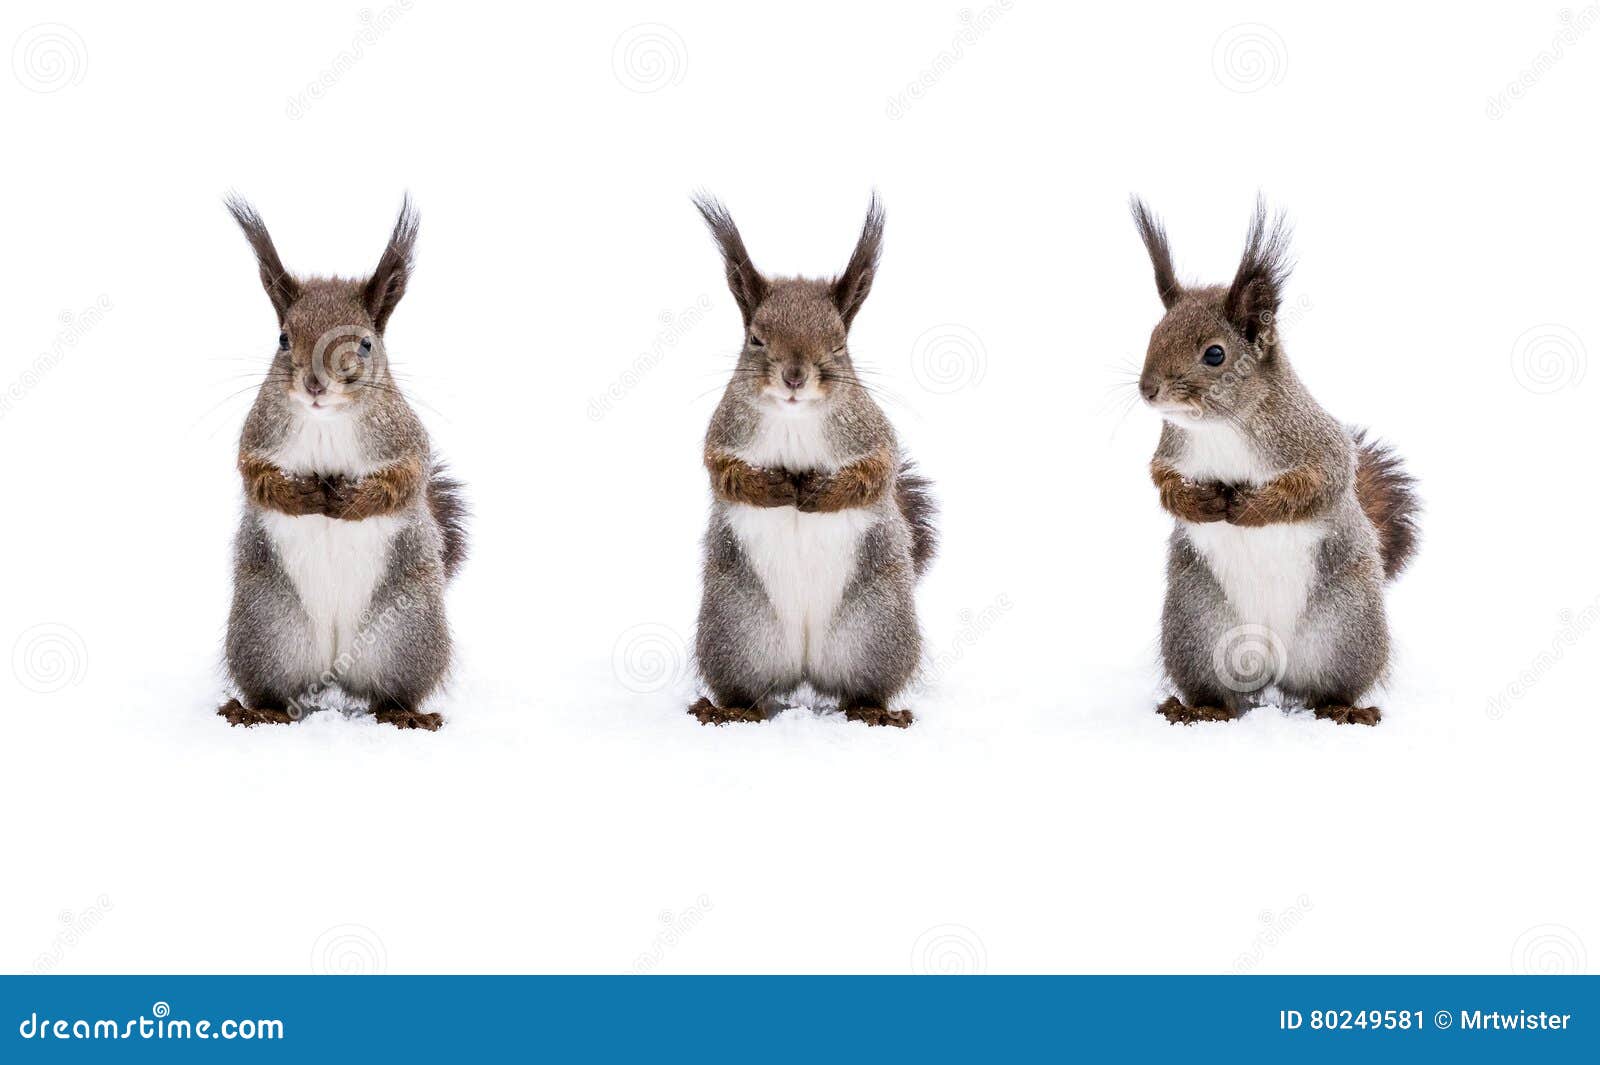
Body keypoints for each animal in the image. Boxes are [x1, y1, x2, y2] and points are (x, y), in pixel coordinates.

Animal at [217, 196, 467, 731]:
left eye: (366, 343)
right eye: (283, 338)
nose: (316, 384)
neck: (326, 419)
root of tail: (334, 672)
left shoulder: (405, 441)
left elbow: (404, 482)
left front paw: (350, 502)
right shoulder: (258, 439)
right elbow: (256, 478)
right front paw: (304, 494)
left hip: (406, 636)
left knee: (390, 693)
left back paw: (406, 717)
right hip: (265, 631)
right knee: (276, 689)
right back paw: (258, 710)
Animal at [687, 194, 937, 728]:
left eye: (839, 343)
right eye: (756, 339)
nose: (795, 376)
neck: (794, 418)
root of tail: (805, 671)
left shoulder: (872, 434)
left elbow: (876, 475)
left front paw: (820, 494)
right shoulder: (723, 435)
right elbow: (723, 474)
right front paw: (775, 488)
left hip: (877, 633)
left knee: (863, 689)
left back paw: (876, 713)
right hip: (734, 632)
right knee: (750, 691)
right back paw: (729, 710)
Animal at [1129, 197, 1419, 726]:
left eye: (1215, 354)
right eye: (1154, 334)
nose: (1148, 389)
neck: (1219, 427)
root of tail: (1275, 662)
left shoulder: (1316, 445)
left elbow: (1319, 485)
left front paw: (1251, 509)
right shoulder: (1171, 450)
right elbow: (1162, 482)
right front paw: (1198, 503)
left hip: (1346, 630)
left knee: (1330, 688)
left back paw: (1344, 710)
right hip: (1197, 629)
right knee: (1221, 692)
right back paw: (1198, 708)